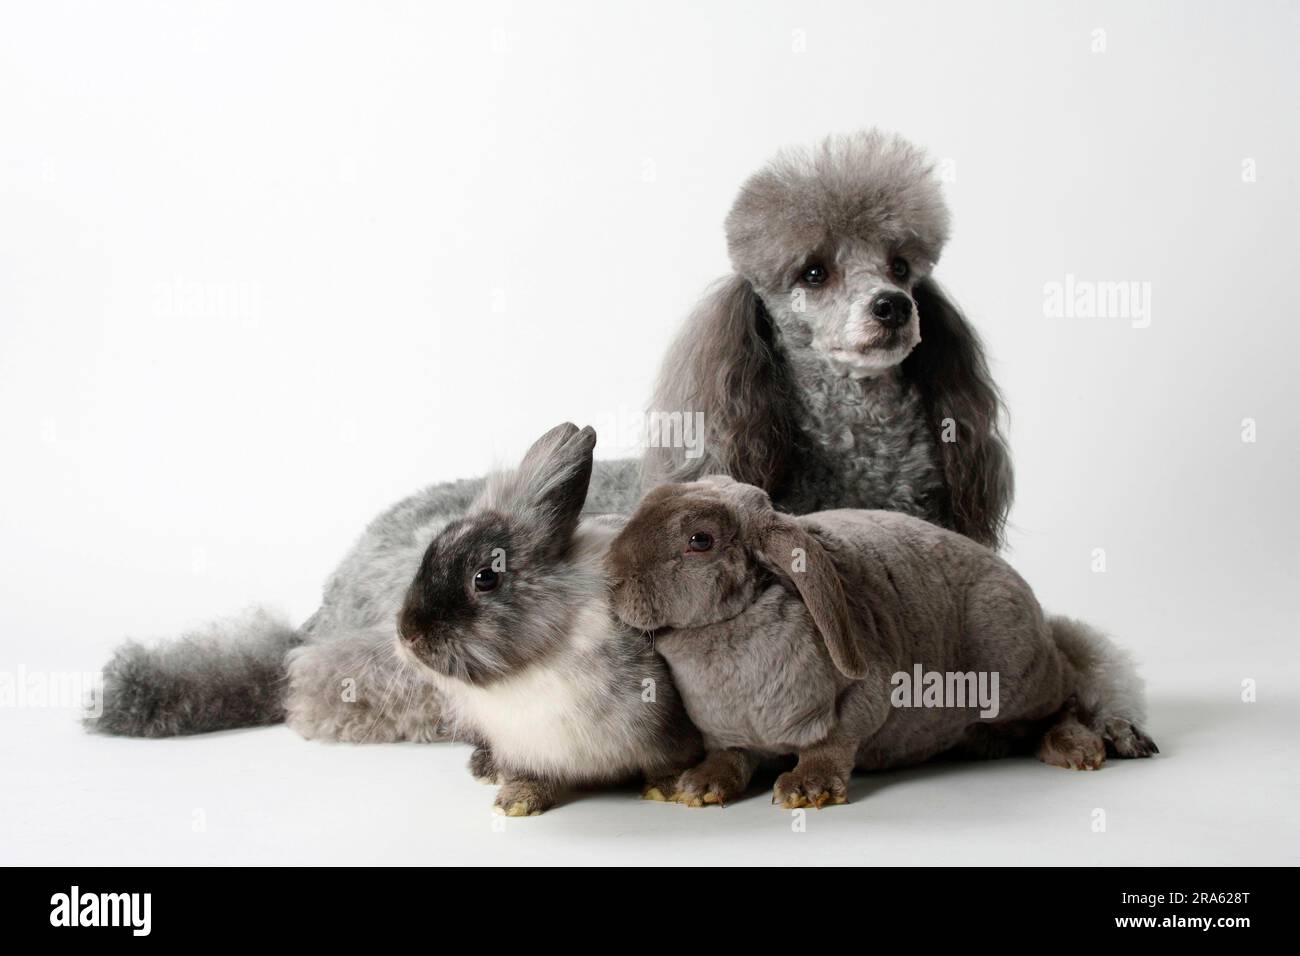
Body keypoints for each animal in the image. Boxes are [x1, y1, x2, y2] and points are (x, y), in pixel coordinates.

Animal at [395, 423, 702, 815]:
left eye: (485, 577)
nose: (407, 633)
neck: (537, 662)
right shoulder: (521, 748)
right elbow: (528, 774)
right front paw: (516, 803)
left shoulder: (669, 728)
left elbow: (669, 762)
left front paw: (668, 790)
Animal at [605, 476, 1156, 809]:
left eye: (700, 540)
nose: (610, 577)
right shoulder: (726, 733)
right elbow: (730, 756)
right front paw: (698, 787)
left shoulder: (863, 699)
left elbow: (833, 743)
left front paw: (806, 790)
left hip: (1015, 670)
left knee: (1066, 699)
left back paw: (1078, 750)